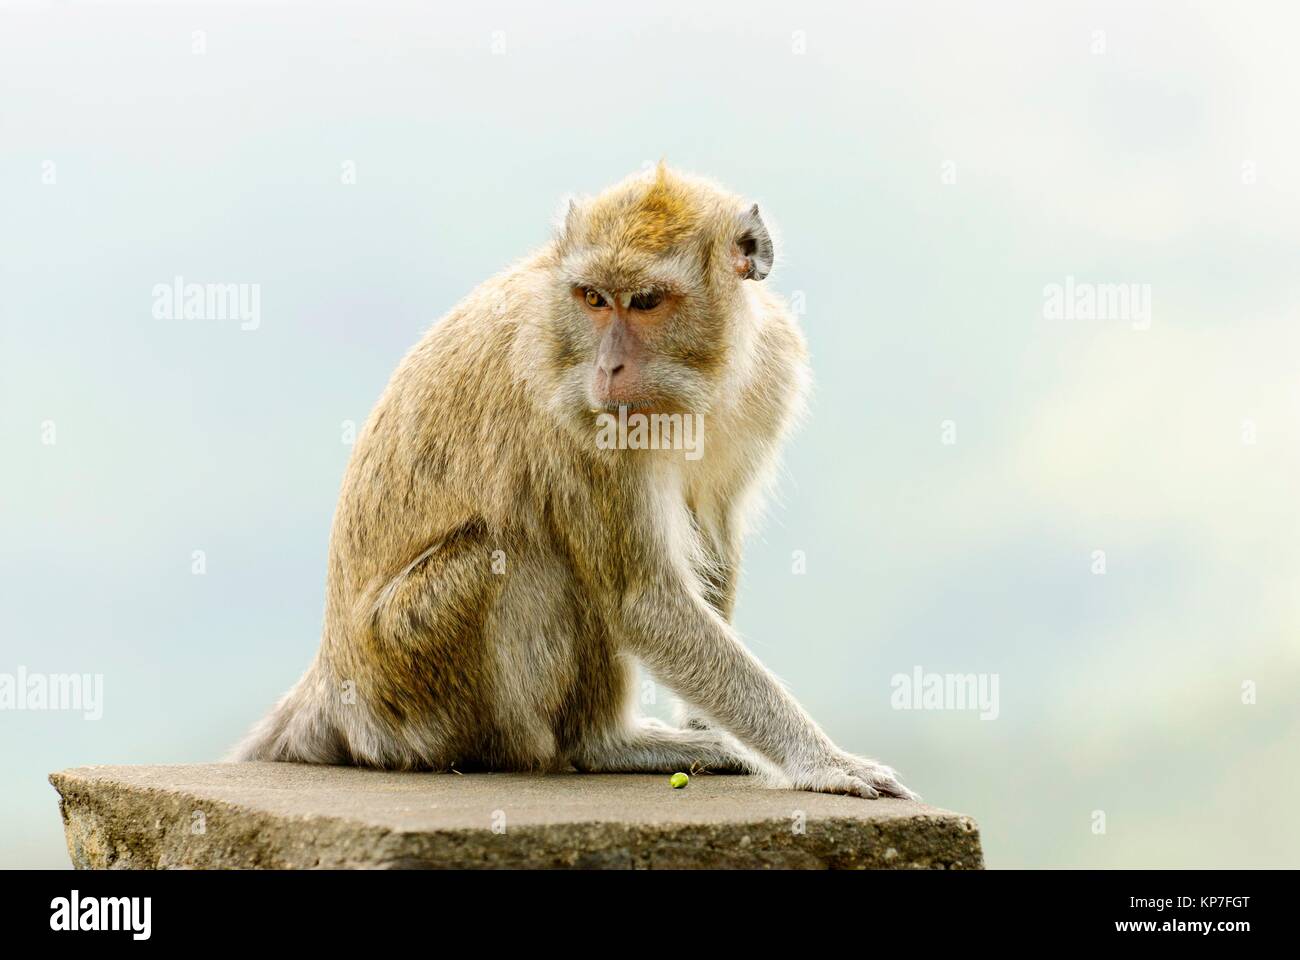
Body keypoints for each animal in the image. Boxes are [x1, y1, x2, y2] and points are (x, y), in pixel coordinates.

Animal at [228, 164, 916, 802]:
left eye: (646, 301)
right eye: (592, 297)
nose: (607, 367)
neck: (695, 386)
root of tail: (330, 685)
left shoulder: (771, 375)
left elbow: (712, 541)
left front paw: (711, 721)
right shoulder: (576, 413)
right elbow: (641, 600)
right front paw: (822, 761)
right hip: (413, 687)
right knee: (522, 555)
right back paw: (604, 745)